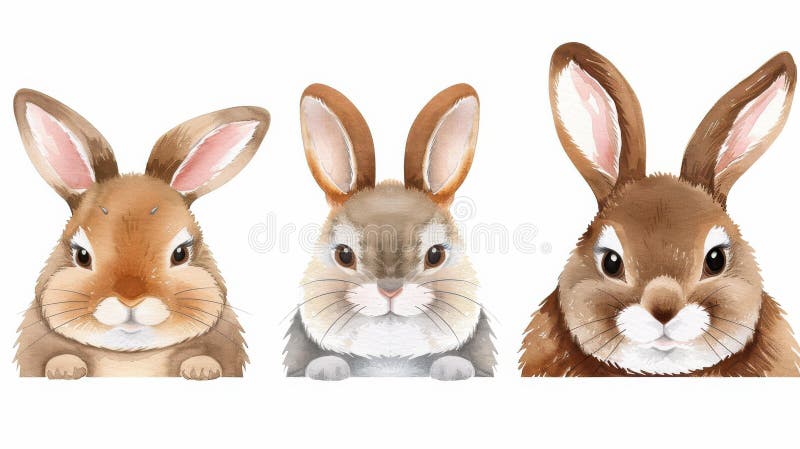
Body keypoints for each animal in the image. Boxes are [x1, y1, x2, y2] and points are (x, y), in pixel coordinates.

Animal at [13, 89, 269, 379]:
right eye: (82, 256)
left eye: (180, 254)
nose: (130, 300)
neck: (130, 357)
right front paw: (64, 369)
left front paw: (201, 368)